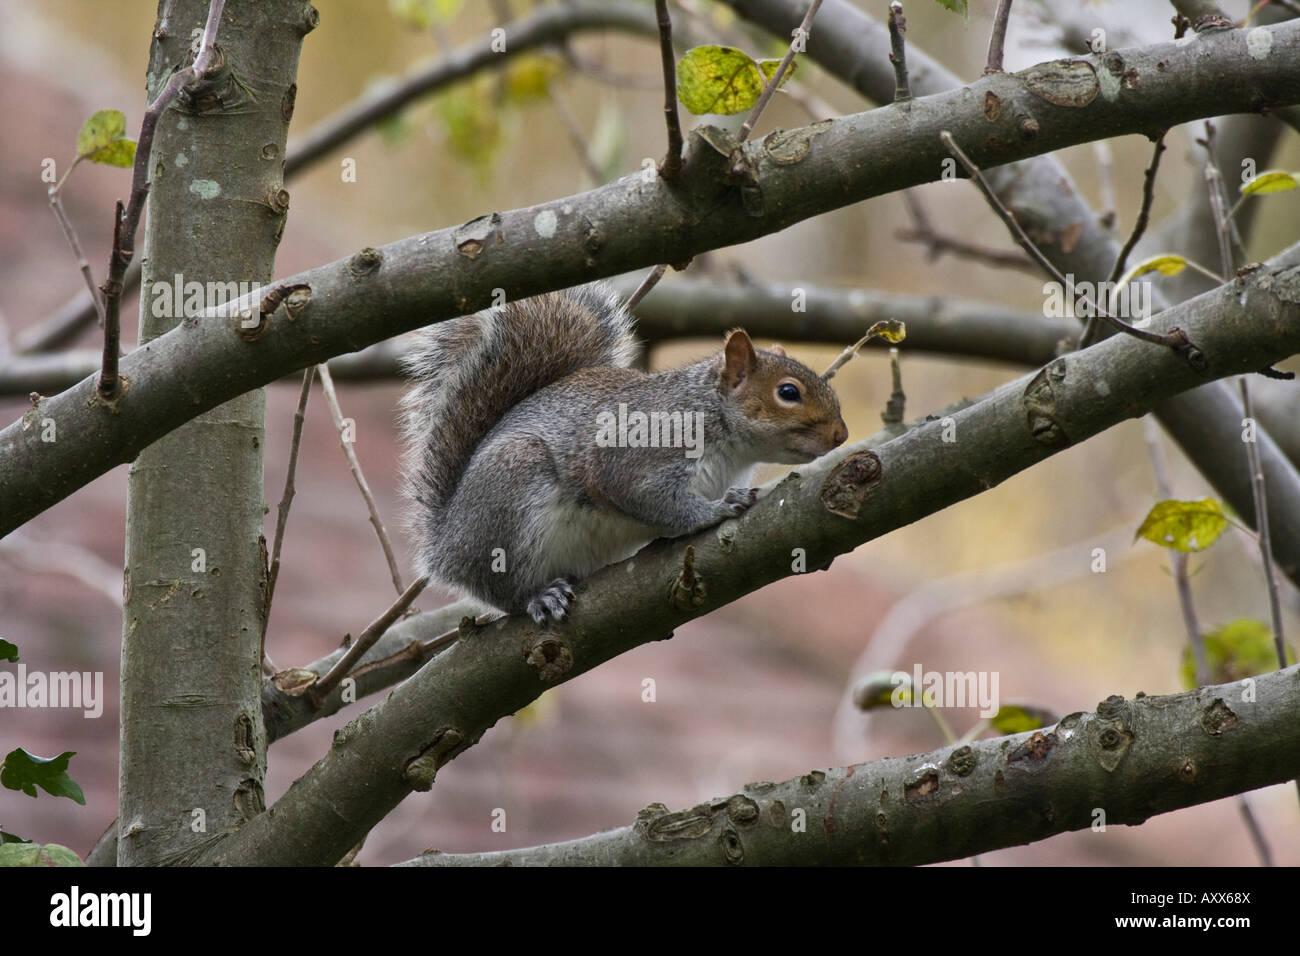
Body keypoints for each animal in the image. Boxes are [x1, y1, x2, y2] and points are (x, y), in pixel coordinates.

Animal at [399, 282, 848, 625]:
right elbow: (649, 497)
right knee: (502, 590)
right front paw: (715, 510)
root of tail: (446, 544)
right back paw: (537, 597)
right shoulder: (637, 456)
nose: (841, 435)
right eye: (788, 392)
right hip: (511, 495)